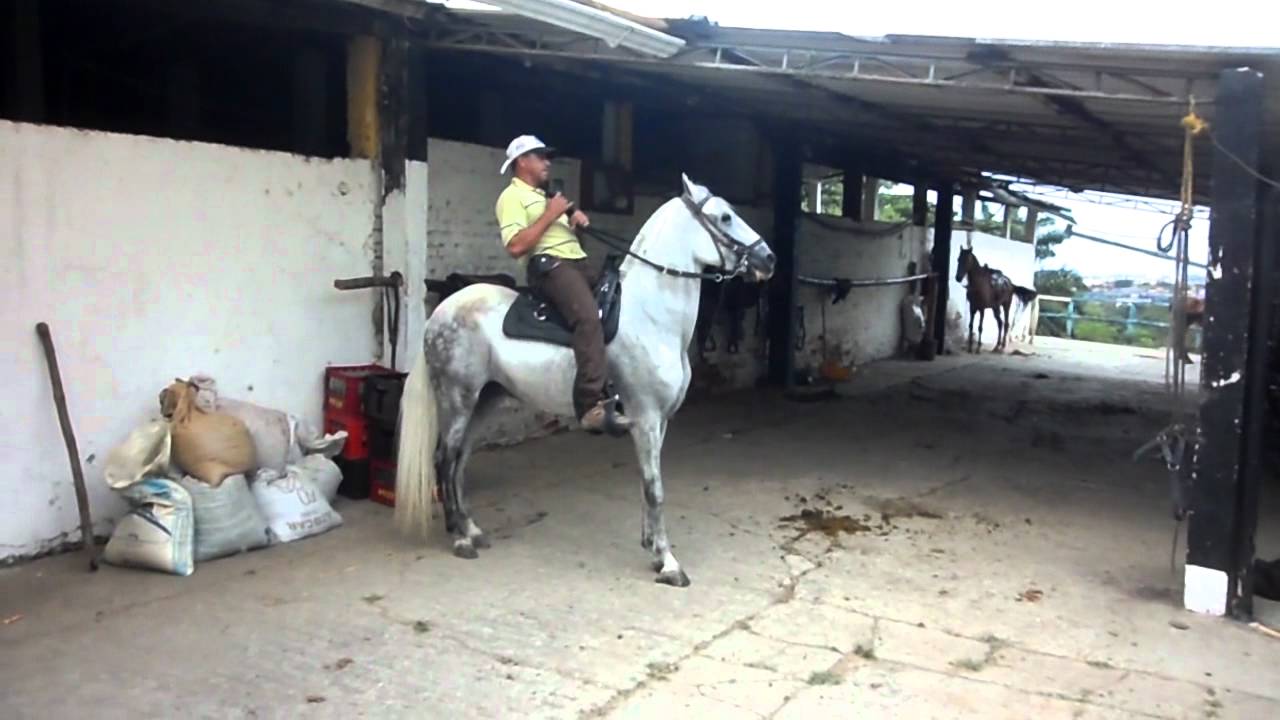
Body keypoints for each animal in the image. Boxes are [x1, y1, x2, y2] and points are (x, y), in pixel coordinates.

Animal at [392, 174, 776, 587]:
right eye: (725, 217)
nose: (768, 259)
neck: (652, 316)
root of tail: (442, 312)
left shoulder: (660, 422)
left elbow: (648, 481)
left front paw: (652, 547)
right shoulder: (645, 418)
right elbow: (655, 488)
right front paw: (669, 563)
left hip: (486, 400)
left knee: (460, 460)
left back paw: (471, 528)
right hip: (457, 398)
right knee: (444, 459)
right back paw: (461, 539)